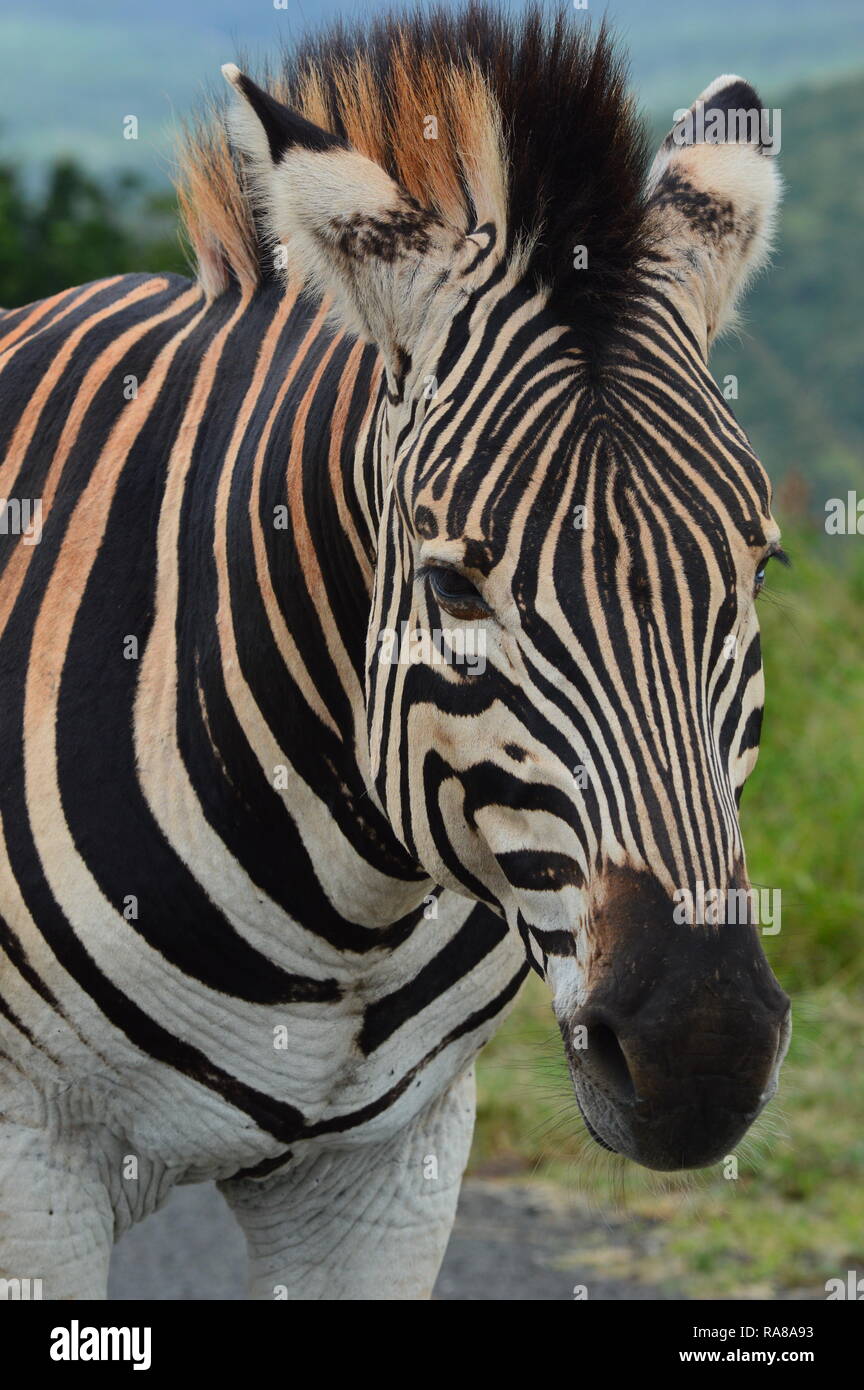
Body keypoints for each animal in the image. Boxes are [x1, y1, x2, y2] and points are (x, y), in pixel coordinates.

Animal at [0, 4, 791, 1301]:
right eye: (454, 585)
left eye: (756, 572)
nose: (701, 1053)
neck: (343, 923)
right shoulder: (35, 1161)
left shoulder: (389, 1169)